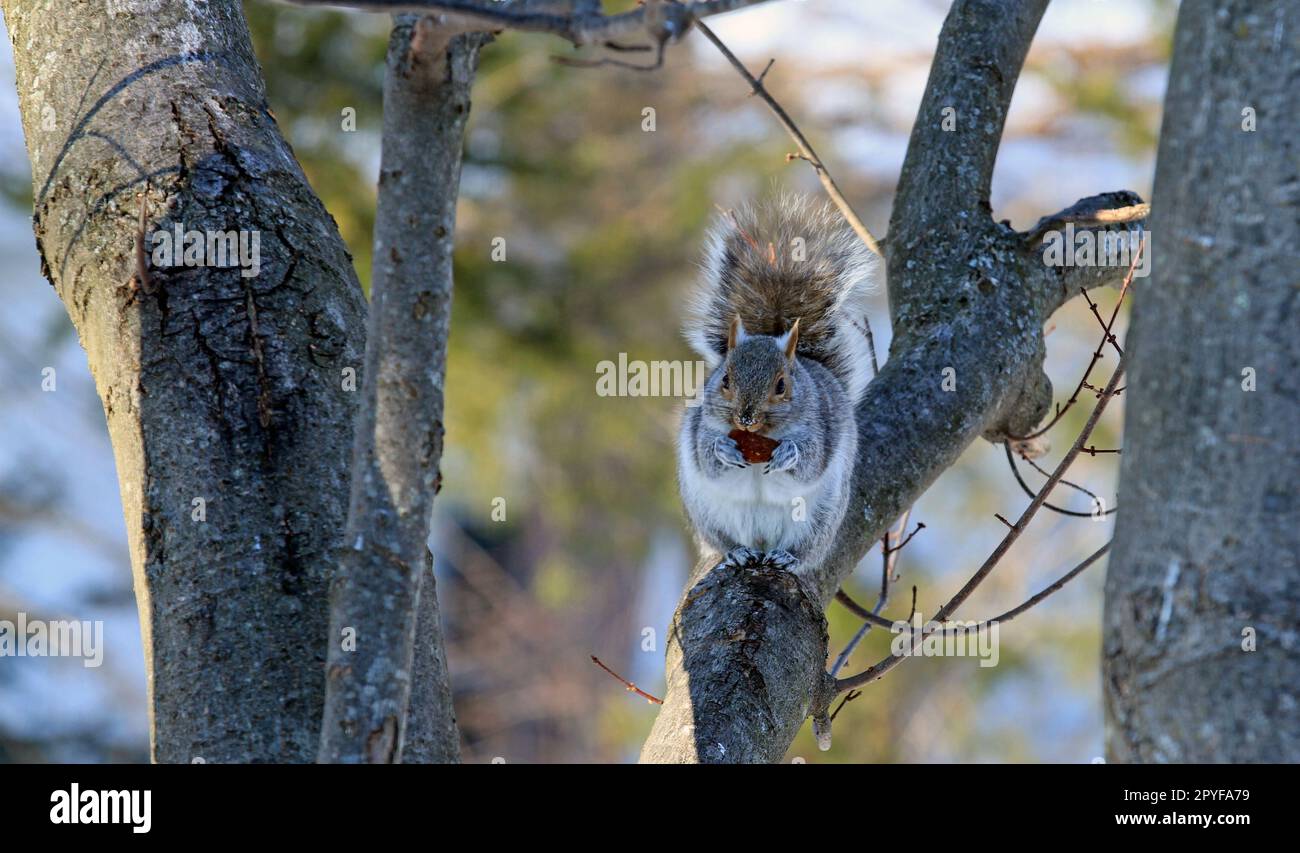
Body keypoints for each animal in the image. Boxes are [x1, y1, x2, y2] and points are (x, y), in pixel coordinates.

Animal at [677, 194, 879, 575]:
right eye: (725, 379)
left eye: (782, 385)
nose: (745, 418)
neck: (760, 437)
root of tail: (761, 542)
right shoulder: (701, 428)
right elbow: (707, 456)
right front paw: (724, 450)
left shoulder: (819, 429)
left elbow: (809, 462)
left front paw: (789, 453)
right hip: (707, 515)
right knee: (725, 540)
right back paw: (737, 552)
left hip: (822, 518)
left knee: (807, 549)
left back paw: (788, 556)